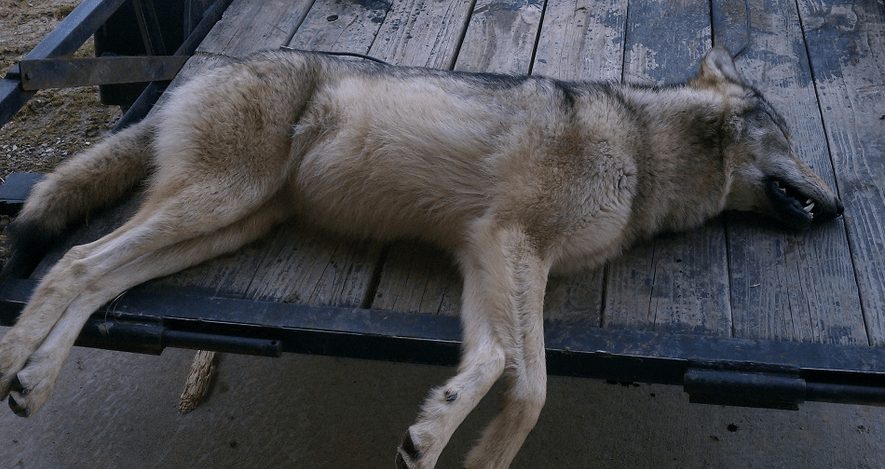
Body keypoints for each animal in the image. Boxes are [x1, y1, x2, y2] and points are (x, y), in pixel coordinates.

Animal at [0, 46, 842, 468]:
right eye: (790, 139)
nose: (838, 207)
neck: (639, 148)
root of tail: (199, 71)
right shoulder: (509, 242)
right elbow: (530, 384)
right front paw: (473, 453)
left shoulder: (484, 257)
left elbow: (497, 361)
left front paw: (437, 430)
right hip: (217, 200)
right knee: (76, 261)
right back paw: (12, 362)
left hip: (227, 223)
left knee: (96, 274)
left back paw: (33, 385)